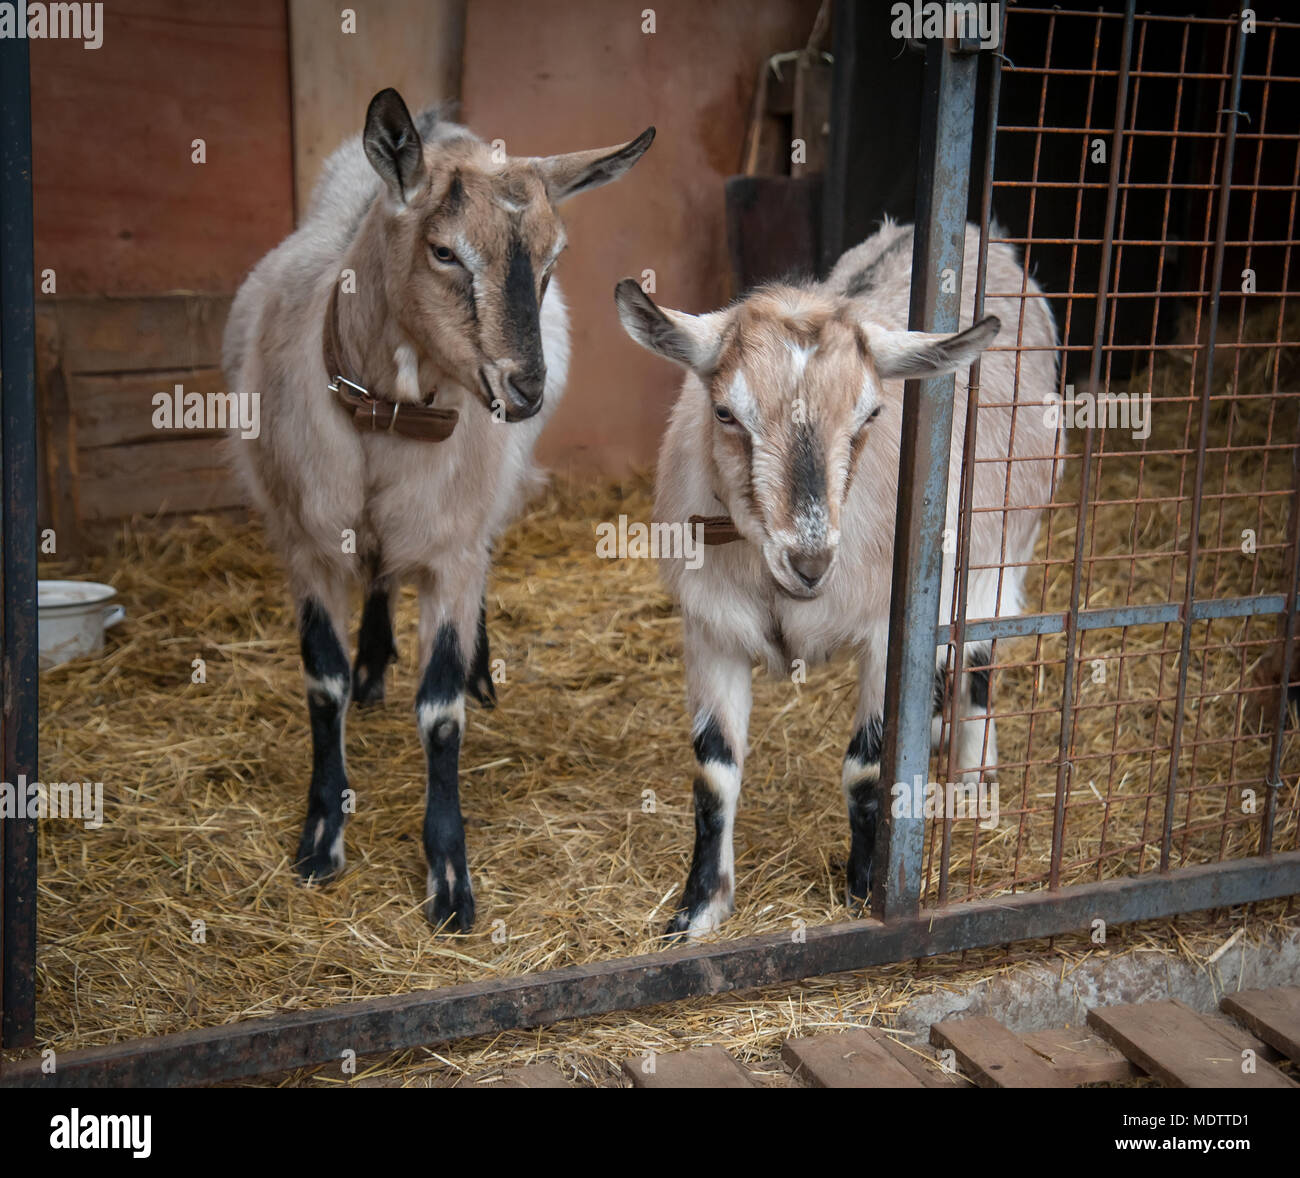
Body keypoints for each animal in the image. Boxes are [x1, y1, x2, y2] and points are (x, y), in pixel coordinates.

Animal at [224, 89, 652, 931]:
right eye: (445, 252)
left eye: (552, 262)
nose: (524, 387)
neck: (386, 415)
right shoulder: (307, 543)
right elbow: (321, 684)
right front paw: (320, 841)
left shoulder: (452, 549)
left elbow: (442, 711)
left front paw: (450, 882)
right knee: (381, 576)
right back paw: (373, 665)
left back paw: (477, 671)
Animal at [615, 219, 1059, 938]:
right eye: (725, 414)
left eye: (870, 415)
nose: (810, 561)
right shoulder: (710, 629)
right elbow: (714, 772)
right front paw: (699, 909)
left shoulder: (888, 632)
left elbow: (867, 769)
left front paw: (863, 893)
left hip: (1002, 551)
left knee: (980, 651)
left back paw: (972, 772)